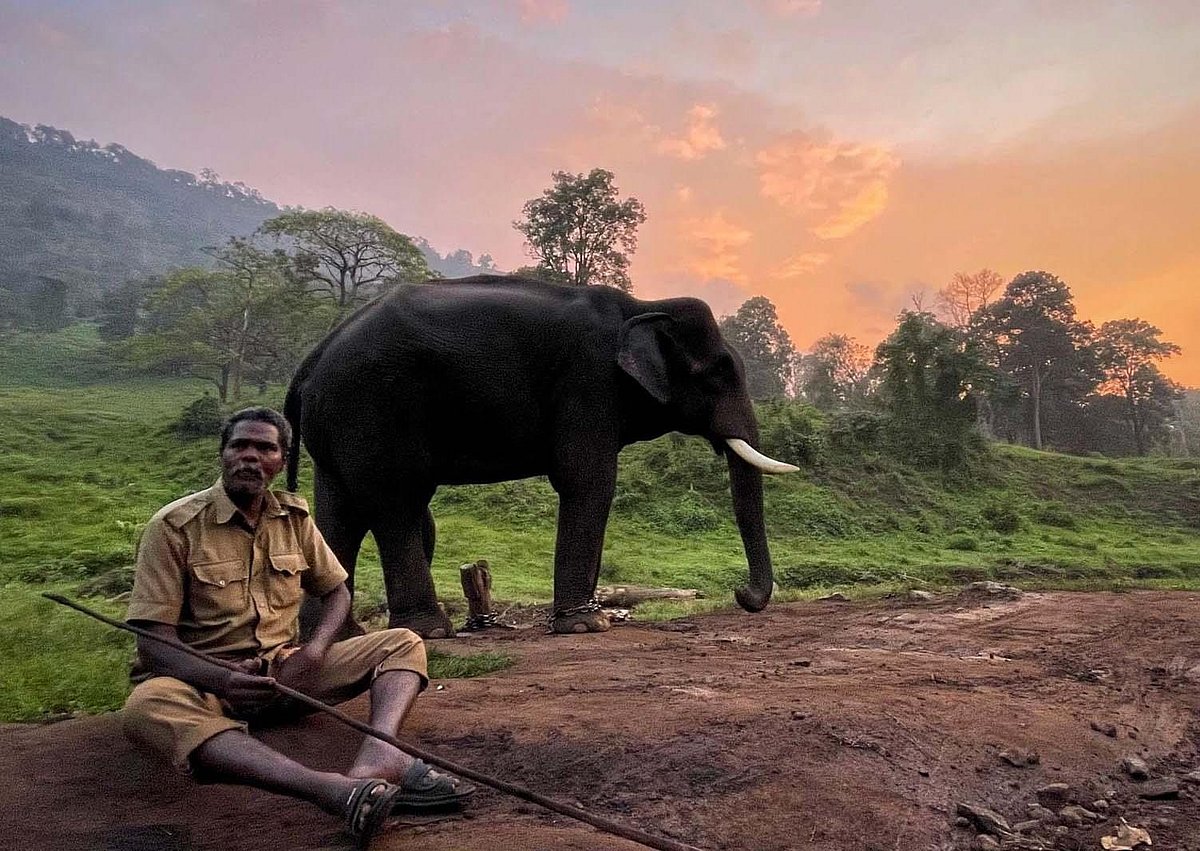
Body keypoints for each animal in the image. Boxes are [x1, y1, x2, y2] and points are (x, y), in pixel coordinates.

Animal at [284, 275, 797, 637]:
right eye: (718, 373)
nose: (741, 593)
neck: (642, 305)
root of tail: (310, 361)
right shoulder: (587, 382)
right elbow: (588, 480)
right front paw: (586, 625)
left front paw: (588, 617)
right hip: (372, 408)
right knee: (396, 504)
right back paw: (429, 632)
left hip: (339, 426)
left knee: (339, 512)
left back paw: (341, 634)